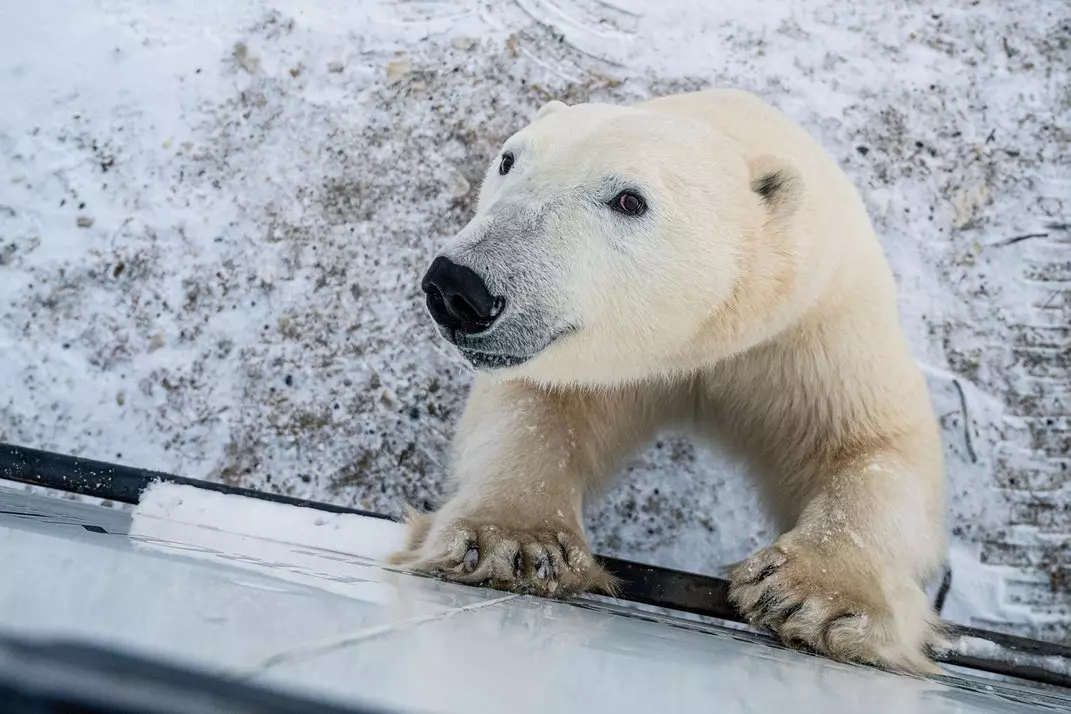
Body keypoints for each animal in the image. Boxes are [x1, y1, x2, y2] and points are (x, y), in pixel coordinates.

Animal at [391, 89, 946, 676]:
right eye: (509, 159)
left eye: (629, 200)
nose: (459, 288)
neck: (698, 341)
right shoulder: (592, 362)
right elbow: (534, 410)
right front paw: (514, 544)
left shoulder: (808, 326)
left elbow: (872, 443)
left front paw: (815, 596)